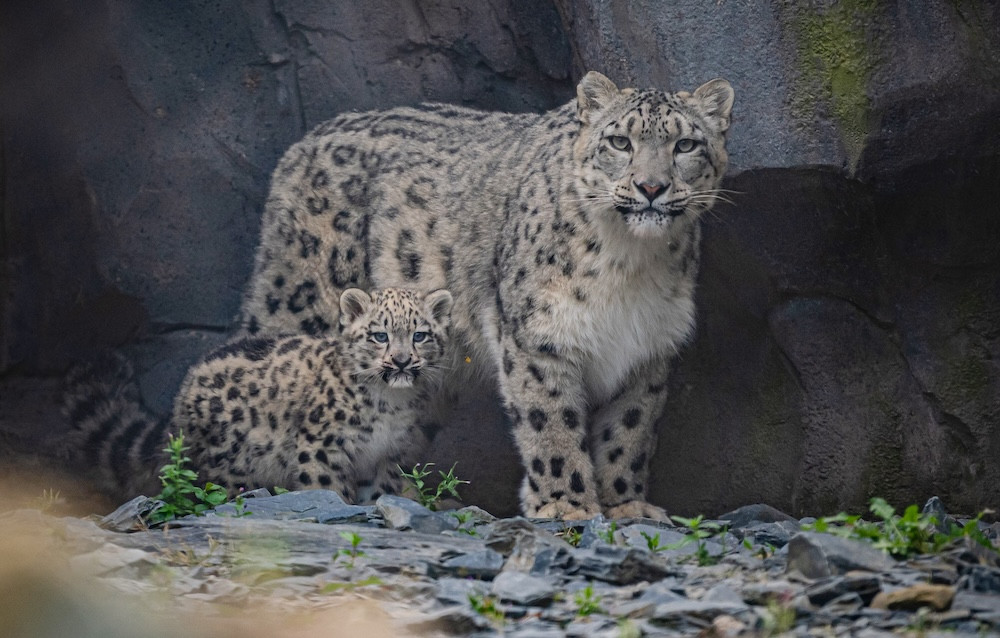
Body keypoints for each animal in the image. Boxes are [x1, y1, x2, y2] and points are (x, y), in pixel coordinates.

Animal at [63, 287, 453, 504]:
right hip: (231, 466)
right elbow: (327, 487)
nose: (401, 361)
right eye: (379, 336)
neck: (390, 403)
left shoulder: (388, 456)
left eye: (419, 335)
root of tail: (182, 397)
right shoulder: (321, 447)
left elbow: (379, 492)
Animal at [240, 71, 735, 520]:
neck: (630, 263)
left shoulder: (648, 347)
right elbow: (551, 423)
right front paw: (566, 506)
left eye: (685, 145)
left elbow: (628, 431)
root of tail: (303, 143)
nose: (651, 187)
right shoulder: (538, 336)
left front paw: (625, 505)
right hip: (309, 304)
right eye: (619, 142)